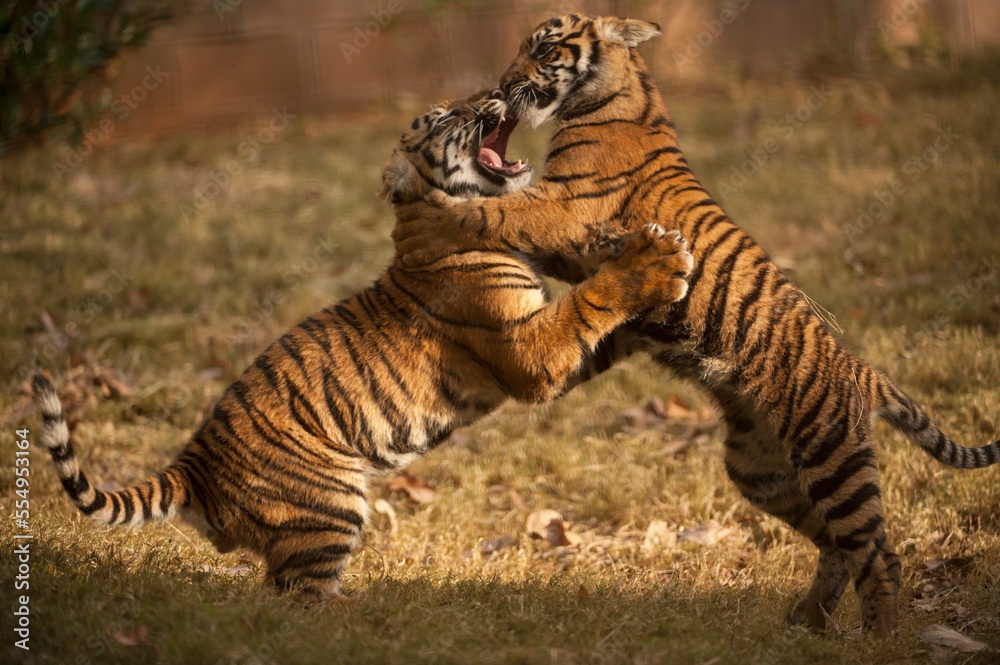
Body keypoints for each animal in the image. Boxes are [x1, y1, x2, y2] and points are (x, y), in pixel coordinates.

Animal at [30, 88, 695, 599]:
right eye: (446, 117)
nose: (497, 92)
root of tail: (193, 465)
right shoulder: (528, 353)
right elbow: (592, 301)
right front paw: (658, 261)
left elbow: (604, 332)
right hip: (329, 505)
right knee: (296, 599)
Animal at [390, 14, 1000, 635]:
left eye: (542, 48)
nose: (500, 83)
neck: (621, 98)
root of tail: (863, 372)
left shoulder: (562, 204)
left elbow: (491, 211)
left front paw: (431, 214)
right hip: (762, 471)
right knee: (836, 546)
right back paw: (806, 621)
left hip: (831, 457)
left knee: (878, 555)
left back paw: (876, 637)